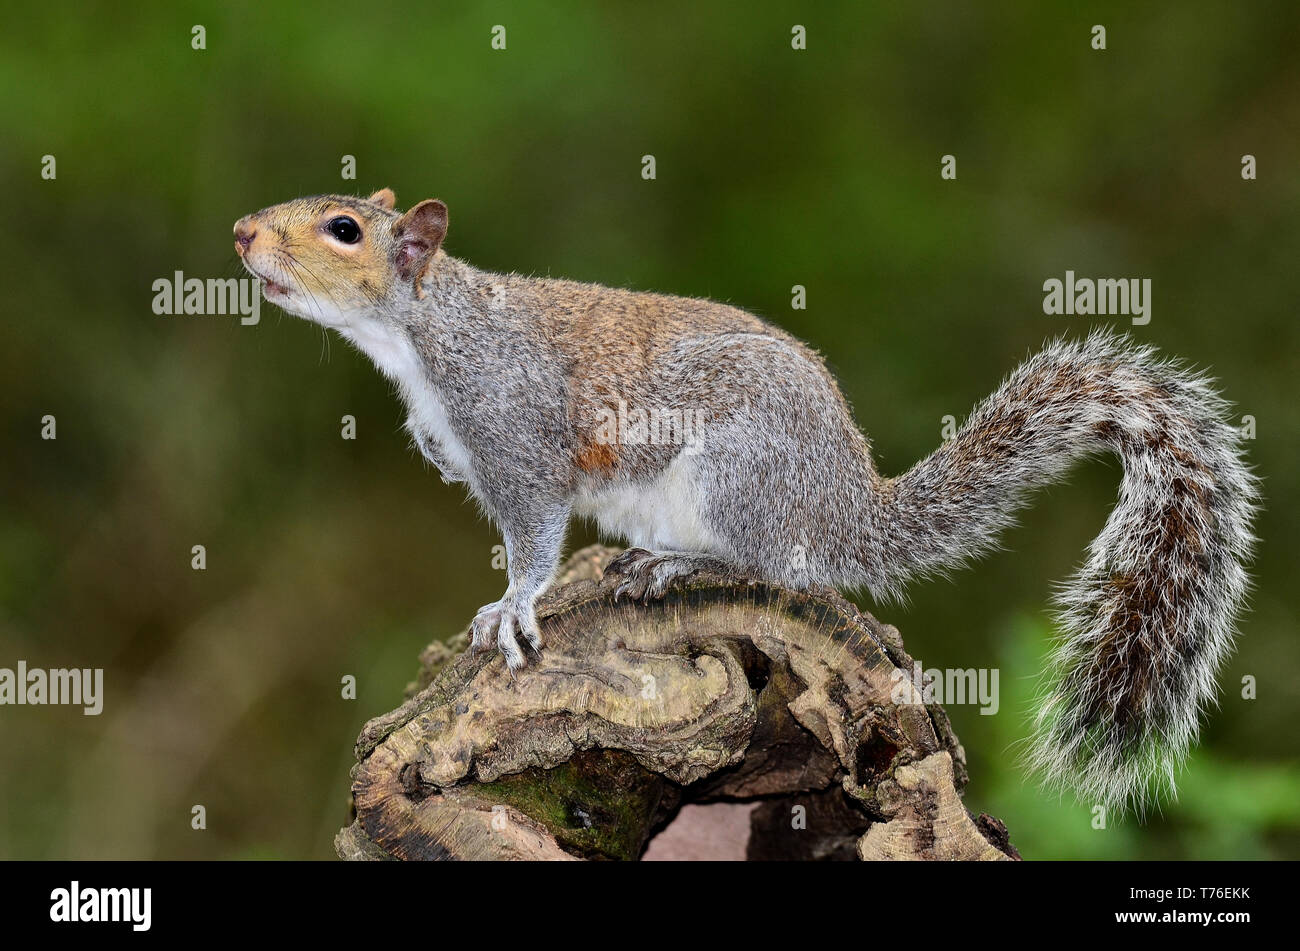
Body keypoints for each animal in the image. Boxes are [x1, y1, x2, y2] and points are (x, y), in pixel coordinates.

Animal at [234, 189, 1259, 811]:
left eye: (343, 229)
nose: (242, 233)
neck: (421, 335)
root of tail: (845, 503)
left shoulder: (522, 448)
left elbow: (533, 540)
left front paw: (513, 607)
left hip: (732, 474)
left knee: (773, 562)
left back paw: (676, 561)